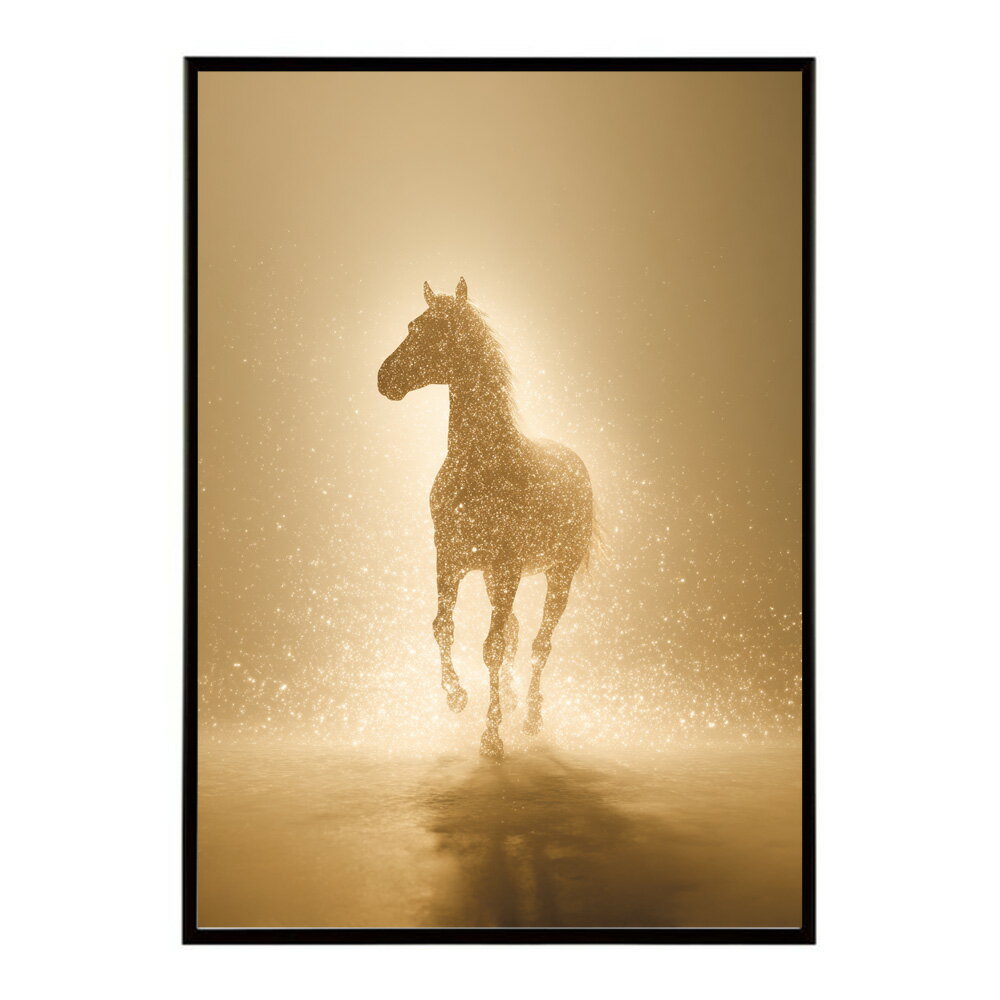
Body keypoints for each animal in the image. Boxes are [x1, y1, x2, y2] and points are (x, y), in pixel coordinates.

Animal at [378, 277, 596, 759]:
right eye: (413, 325)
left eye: (437, 332)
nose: (384, 378)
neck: (481, 465)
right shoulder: (451, 558)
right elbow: (443, 628)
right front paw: (457, 697)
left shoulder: (507, 565)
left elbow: (492, 648)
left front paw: (492, 736)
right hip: (494, 580)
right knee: (515, 636)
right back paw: (513, 704)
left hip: (557, 575)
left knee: (538, 644)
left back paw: (530, 718)